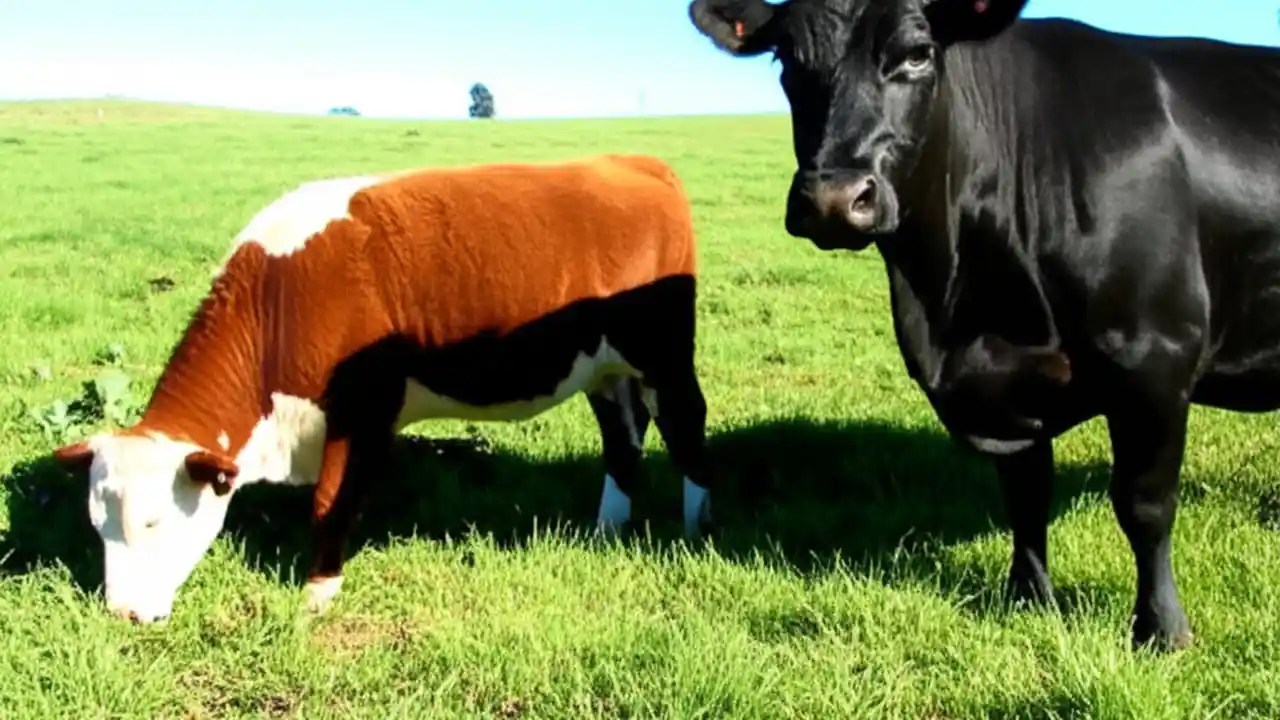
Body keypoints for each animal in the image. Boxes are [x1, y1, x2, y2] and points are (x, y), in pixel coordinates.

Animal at [51, 154, 712, 623]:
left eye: (152, 522)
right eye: (98, 523)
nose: (123, 614)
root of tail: (633, 162)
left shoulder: (363, 410)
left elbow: (330, 501)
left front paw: (317, 595)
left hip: (663, 354)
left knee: (686, 422)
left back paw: (695, 526)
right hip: (603, 369)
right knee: (623, 439)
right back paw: (607, 529)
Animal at [690, 0, 1280, 651]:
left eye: (918, 54)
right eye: (786, 59)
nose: (833, 200)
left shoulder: (1155, 356)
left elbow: (1143, 504)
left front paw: (1161, 630)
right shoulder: (1003, 378)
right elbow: (1025, 492)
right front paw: (1028, 598)